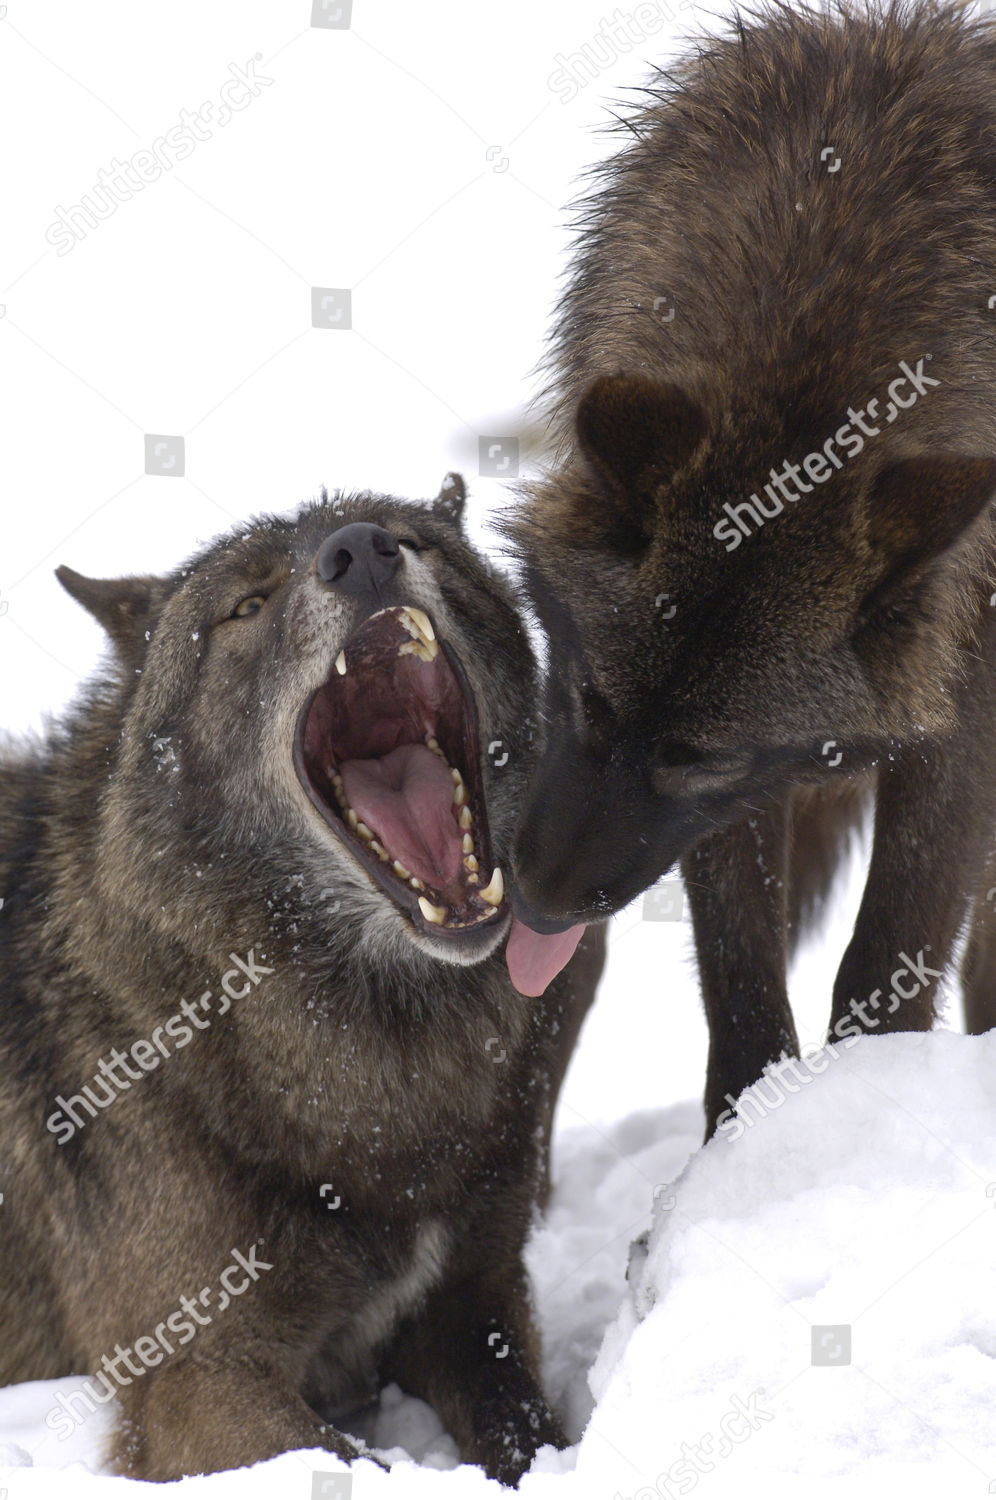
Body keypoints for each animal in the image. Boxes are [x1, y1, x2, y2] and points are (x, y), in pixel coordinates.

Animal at [0, 475, 605, 1483]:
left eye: (411, 539)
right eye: (246, 606)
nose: (360, 552)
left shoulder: (475, 1301)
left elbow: (530, 1429)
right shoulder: (192, 1379)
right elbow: (350, 1461)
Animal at [504, 2, 996, 1133]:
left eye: (703, 755)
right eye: (587, 698)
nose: (538, 904)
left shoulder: (958, 731)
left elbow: (890, 956)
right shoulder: (725, 818)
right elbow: (739, 975)